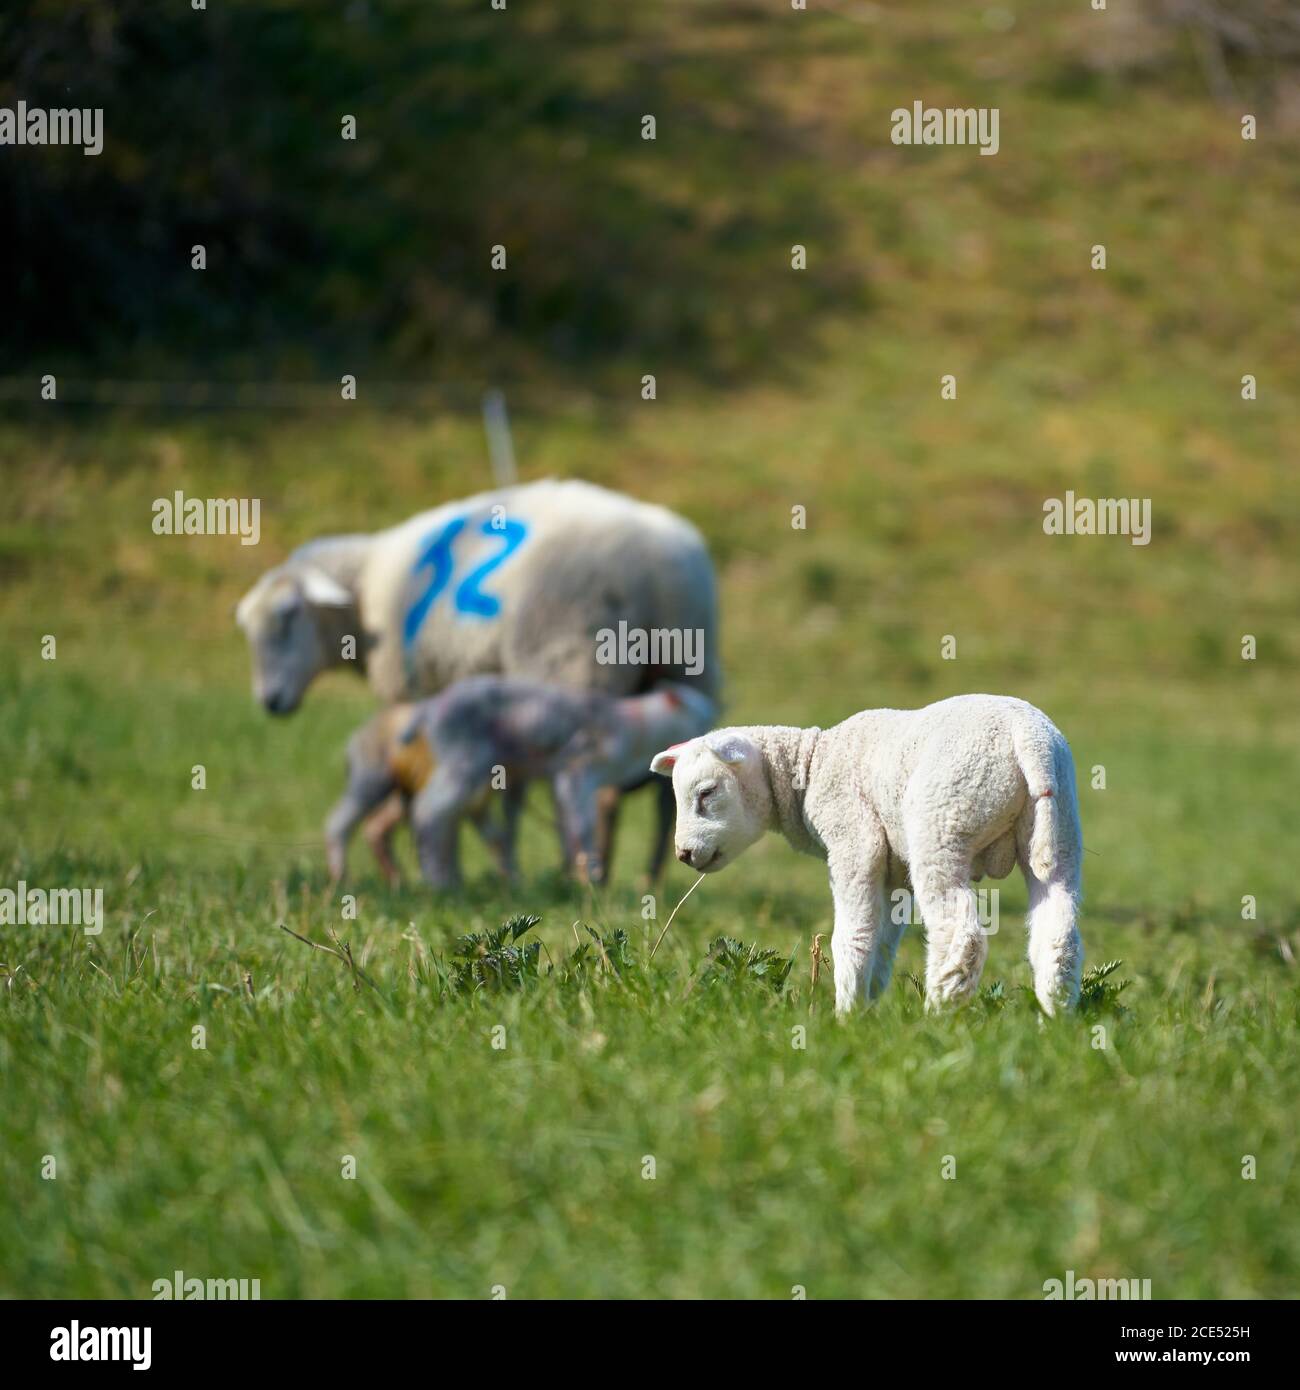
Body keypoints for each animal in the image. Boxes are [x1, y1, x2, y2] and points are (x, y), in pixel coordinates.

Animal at [400, 677, 717, 890]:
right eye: (701, 711)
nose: (714, 729)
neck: (637, 730)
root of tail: (430, 707)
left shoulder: (578, 781)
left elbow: (575, 823)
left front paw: (581, 873)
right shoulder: (577, 771)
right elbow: (583, 824)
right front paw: (591, 876)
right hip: (463, 757)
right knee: (430, 811)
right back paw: (439, 880)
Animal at [650, 694, 1083, 1015]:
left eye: (706, 792)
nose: (684, 854)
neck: (808, 768)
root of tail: (1027, 739)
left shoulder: (855, 843)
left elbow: (852, 938)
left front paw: (845, 1016)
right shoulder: (893, 874)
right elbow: (883, 946)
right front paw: (867, 1011)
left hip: (944, 824)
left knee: (960, 936)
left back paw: (939, 1018)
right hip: (1060, 830)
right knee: (1058, 933)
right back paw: (1054, 1019)